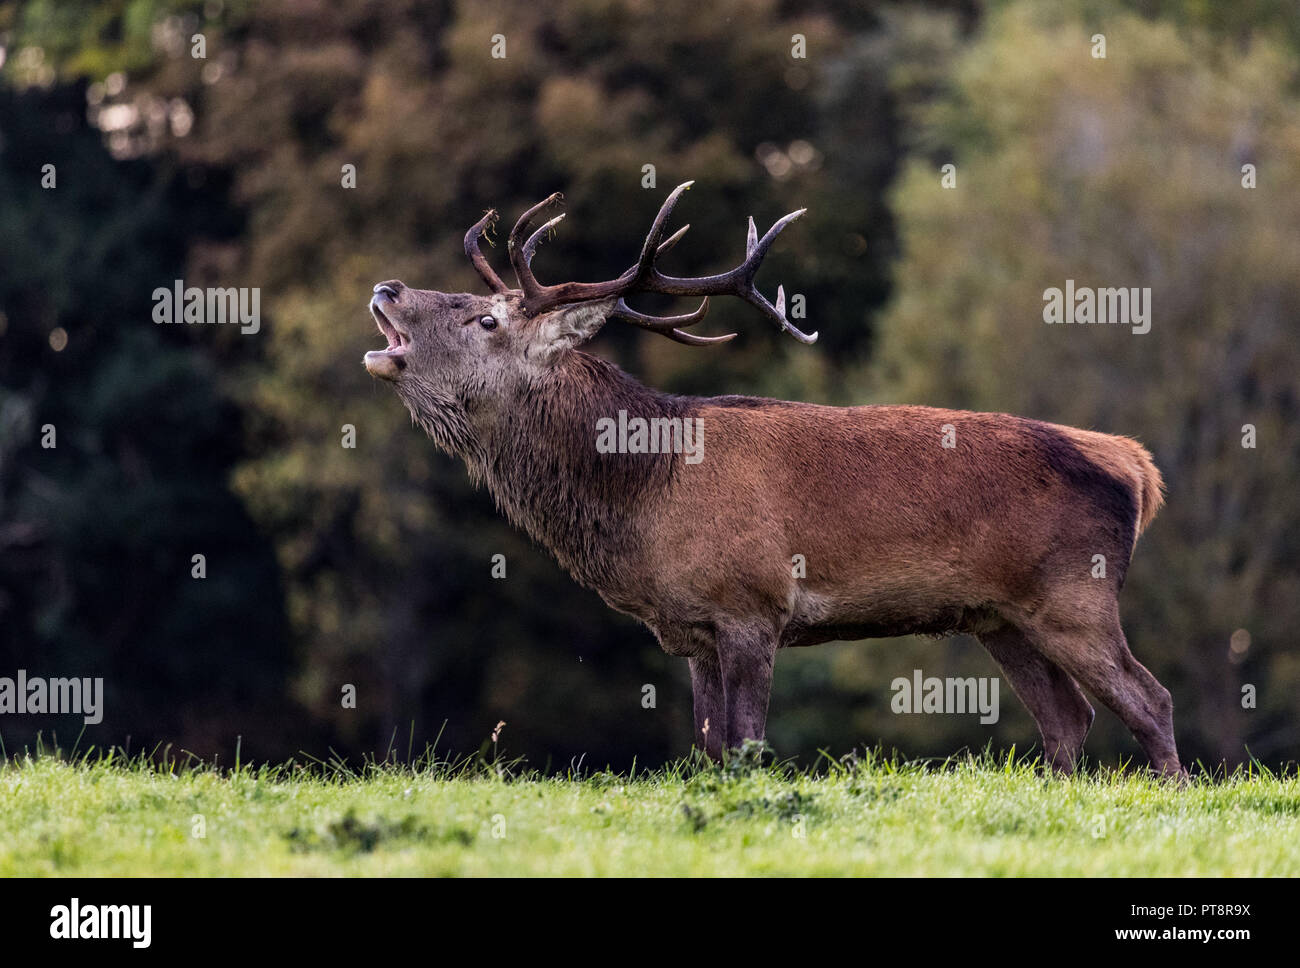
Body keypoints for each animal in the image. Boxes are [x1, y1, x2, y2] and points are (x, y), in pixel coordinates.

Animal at [363, 182, 1183, 778]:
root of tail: (1137, 468)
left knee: (1150, 699)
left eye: (486, 320)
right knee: (1067, 717)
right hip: (1001, 616)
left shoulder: (752, 604)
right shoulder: (692, 630)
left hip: (1076, 593)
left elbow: (748, 745)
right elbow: (710, 750)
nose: (387, 287)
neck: (643, 493)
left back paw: (1171, 795)